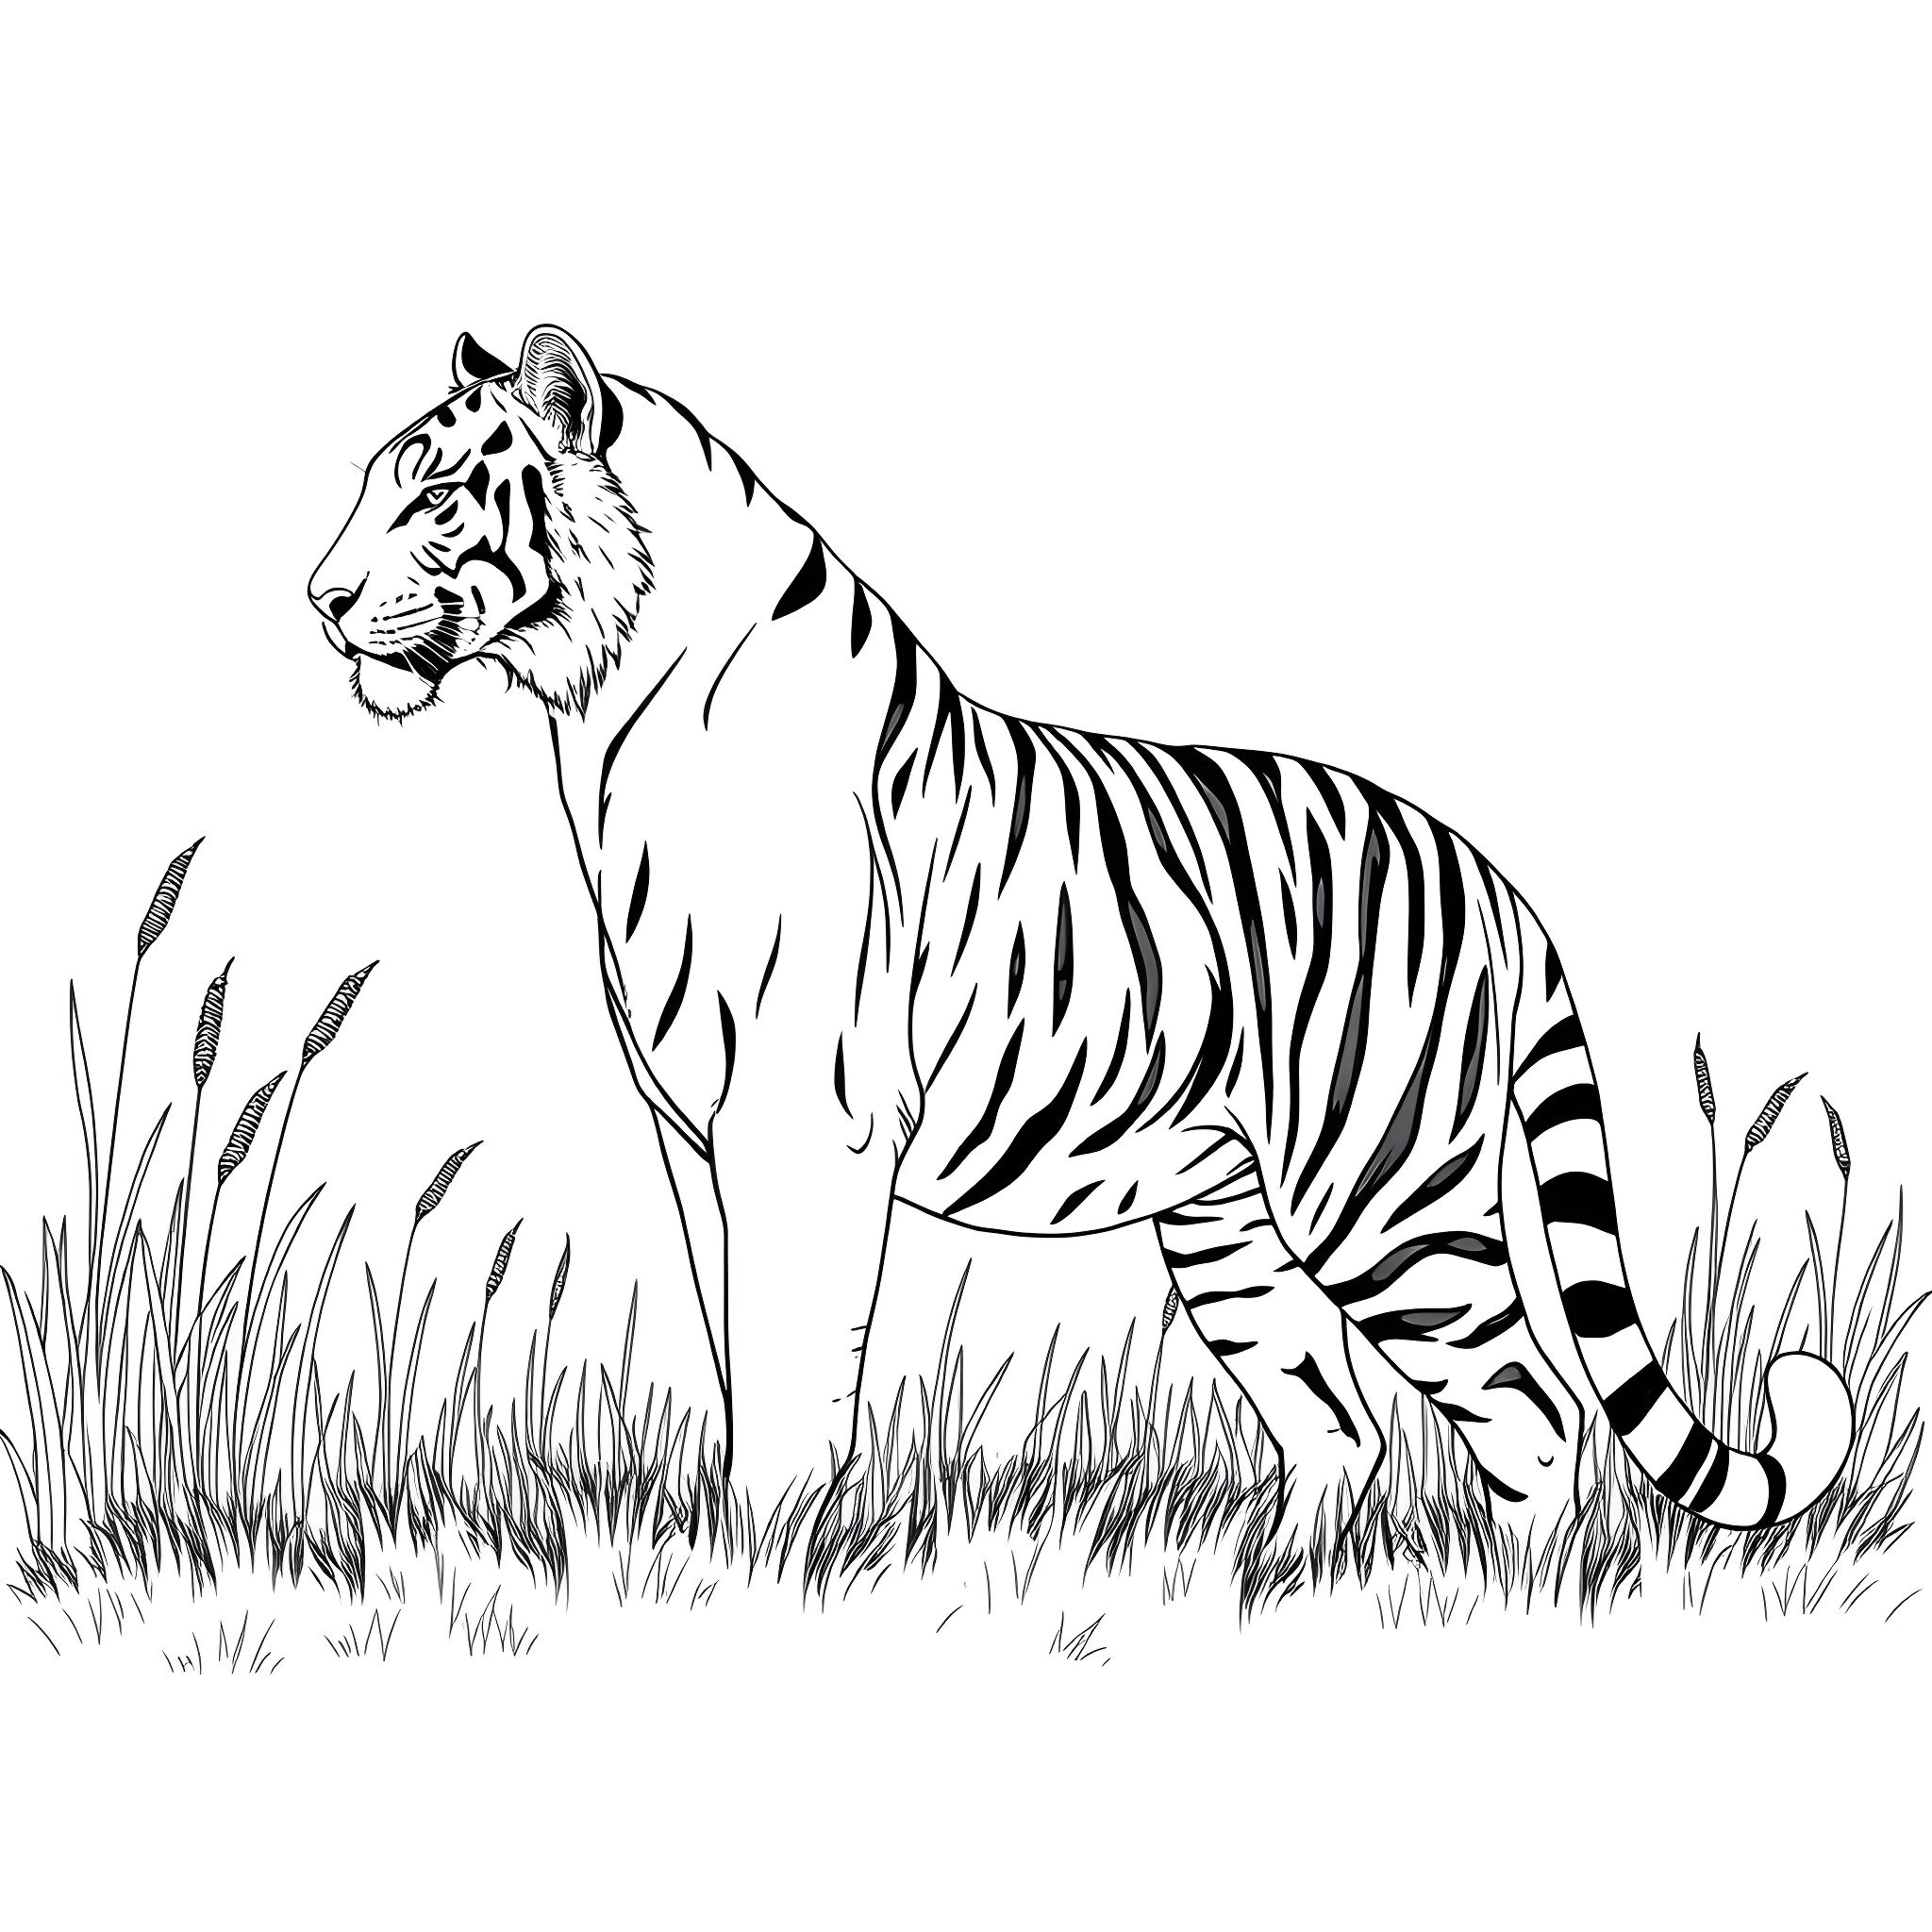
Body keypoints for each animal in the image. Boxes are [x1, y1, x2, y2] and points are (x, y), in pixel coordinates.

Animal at [309, 323, 1854, 1539]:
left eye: (436, 497)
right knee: (1338, 1422)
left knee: (1532, 1413)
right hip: (1228, 1220)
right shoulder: (693, 1136)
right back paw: (1262, 1587)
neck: (603, 715)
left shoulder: (806, 1129)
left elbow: (798, 1364)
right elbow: (737, 1345)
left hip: (1388, 1192)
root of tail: (1491, 877)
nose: (317, 598)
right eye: (373, 487)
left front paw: (758, 1555)